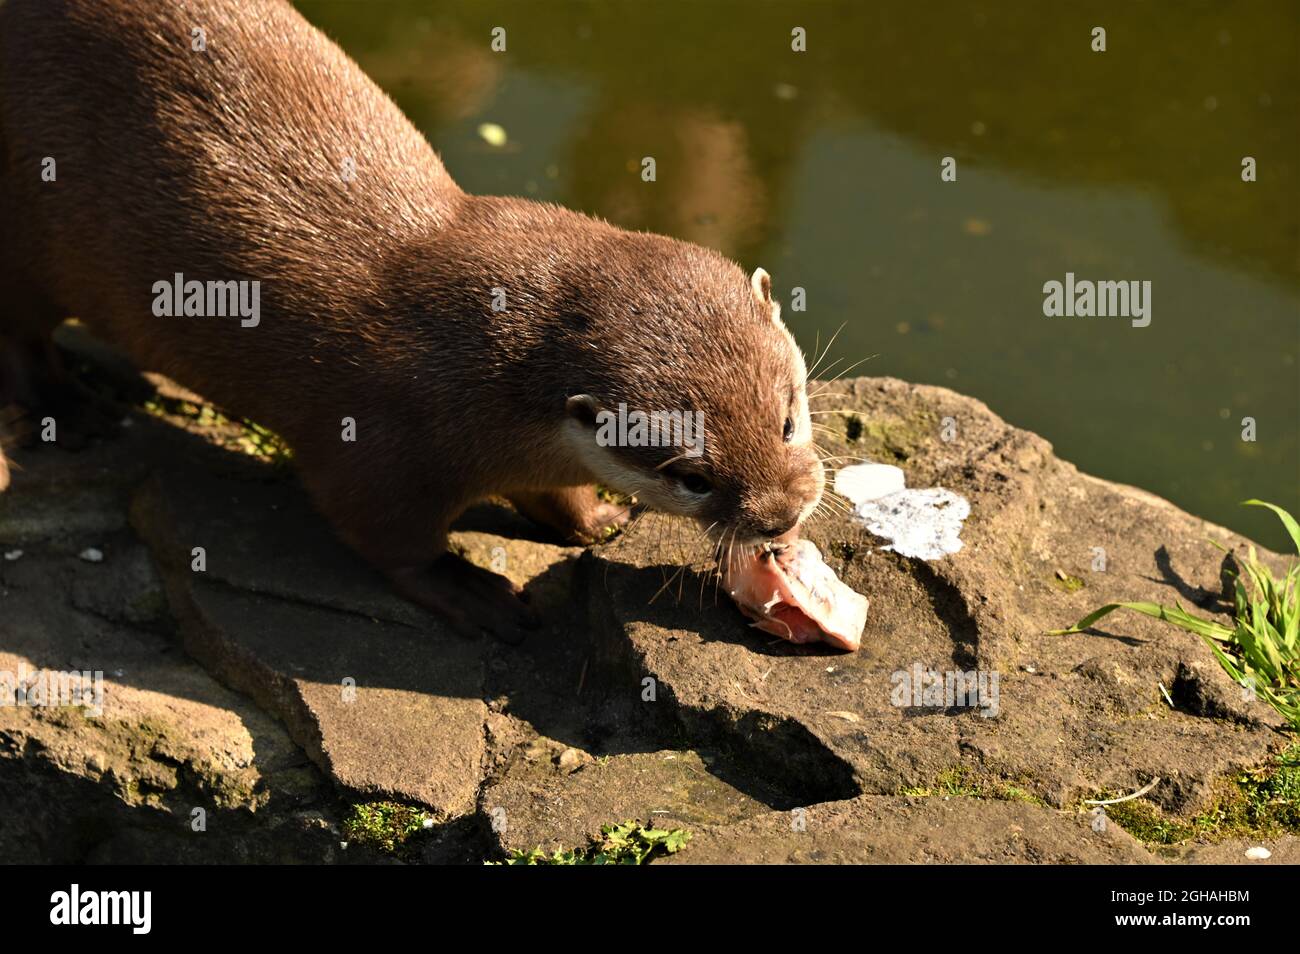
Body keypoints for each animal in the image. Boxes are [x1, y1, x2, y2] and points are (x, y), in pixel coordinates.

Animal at [0, 0, 823, 641]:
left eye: (788, 419)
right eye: (692, 477)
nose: (782, 517)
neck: (484, 364)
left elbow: (551, 497)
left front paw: (597, 520)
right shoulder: (378, 443)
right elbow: (384, 536)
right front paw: (473, 589)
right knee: (23, 332)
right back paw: (70, 410)